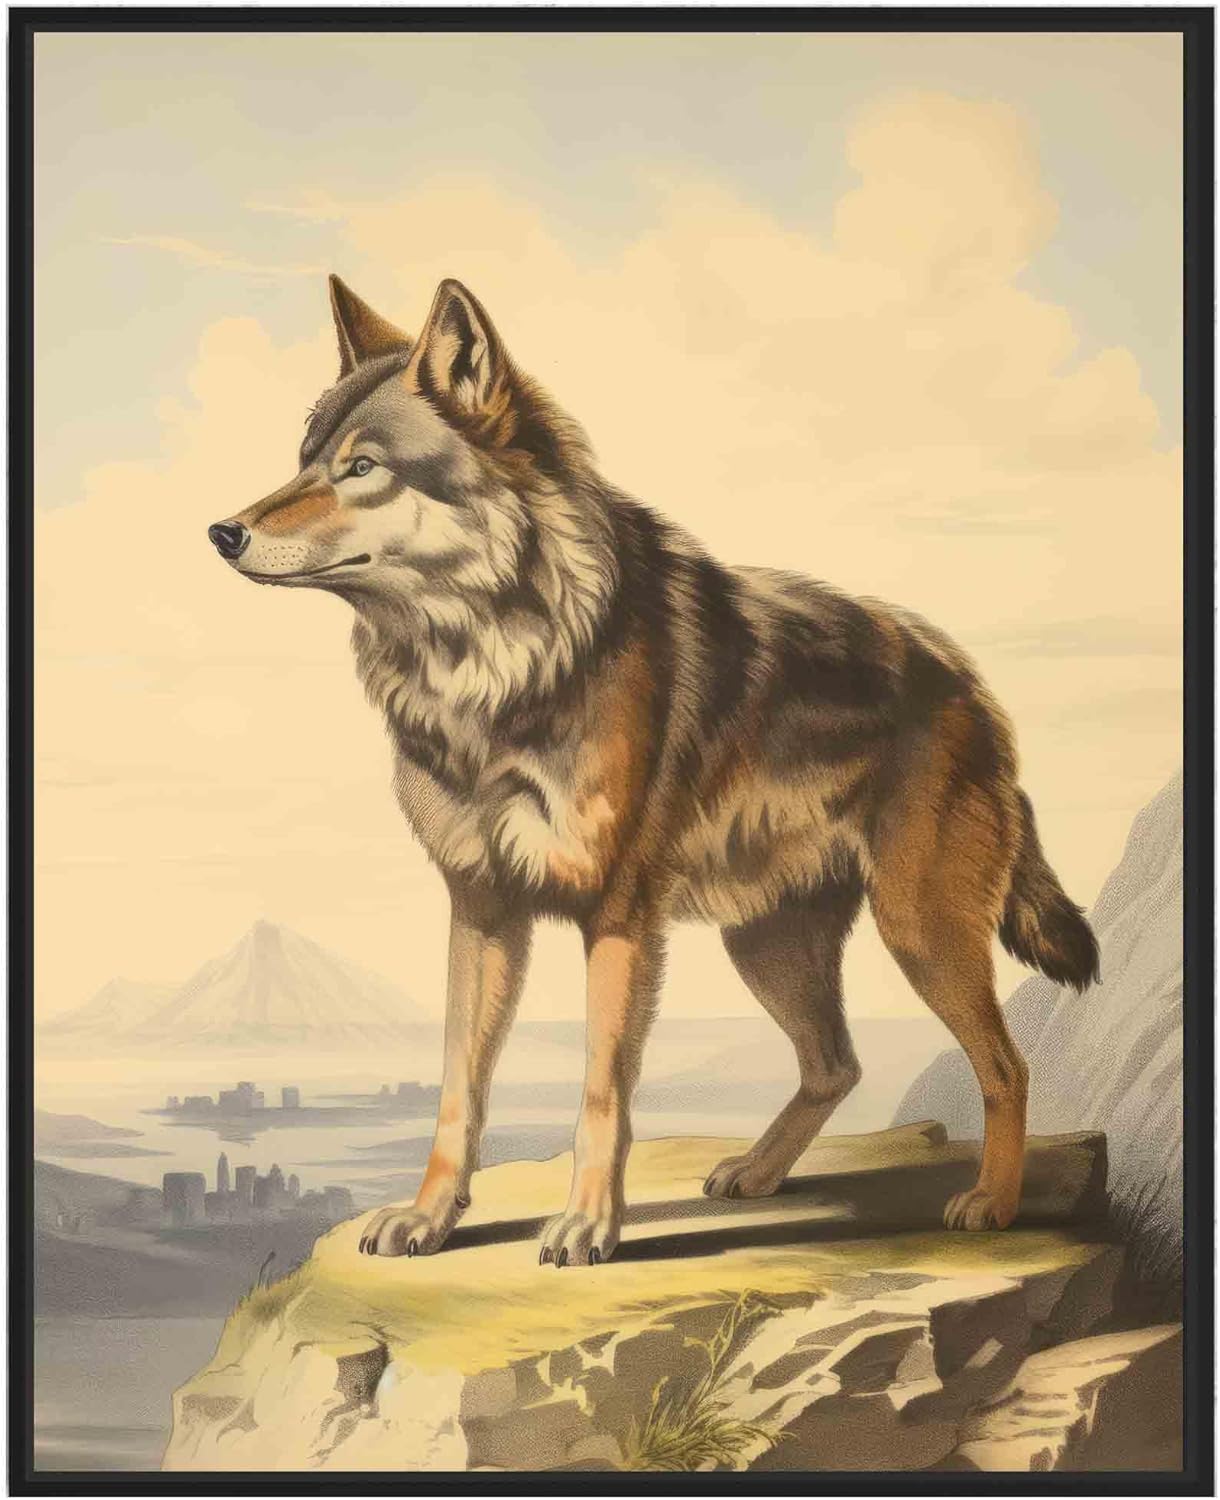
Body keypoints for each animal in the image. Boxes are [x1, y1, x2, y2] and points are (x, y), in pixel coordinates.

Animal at [208, 275, 1099, 1267]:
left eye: (362, 467)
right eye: (303, 461)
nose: (221, 532)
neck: (495, 663)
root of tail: (971, 687)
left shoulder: (618, 919)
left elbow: (602, 1091)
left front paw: (589, 1225)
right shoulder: (480, 910)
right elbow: (458, 1089)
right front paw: (431, 1218)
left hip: (919, 931)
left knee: (1005, 1064)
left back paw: (992, 1202)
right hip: (767, 944)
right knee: (836, 1064)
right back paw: (759, 1172)